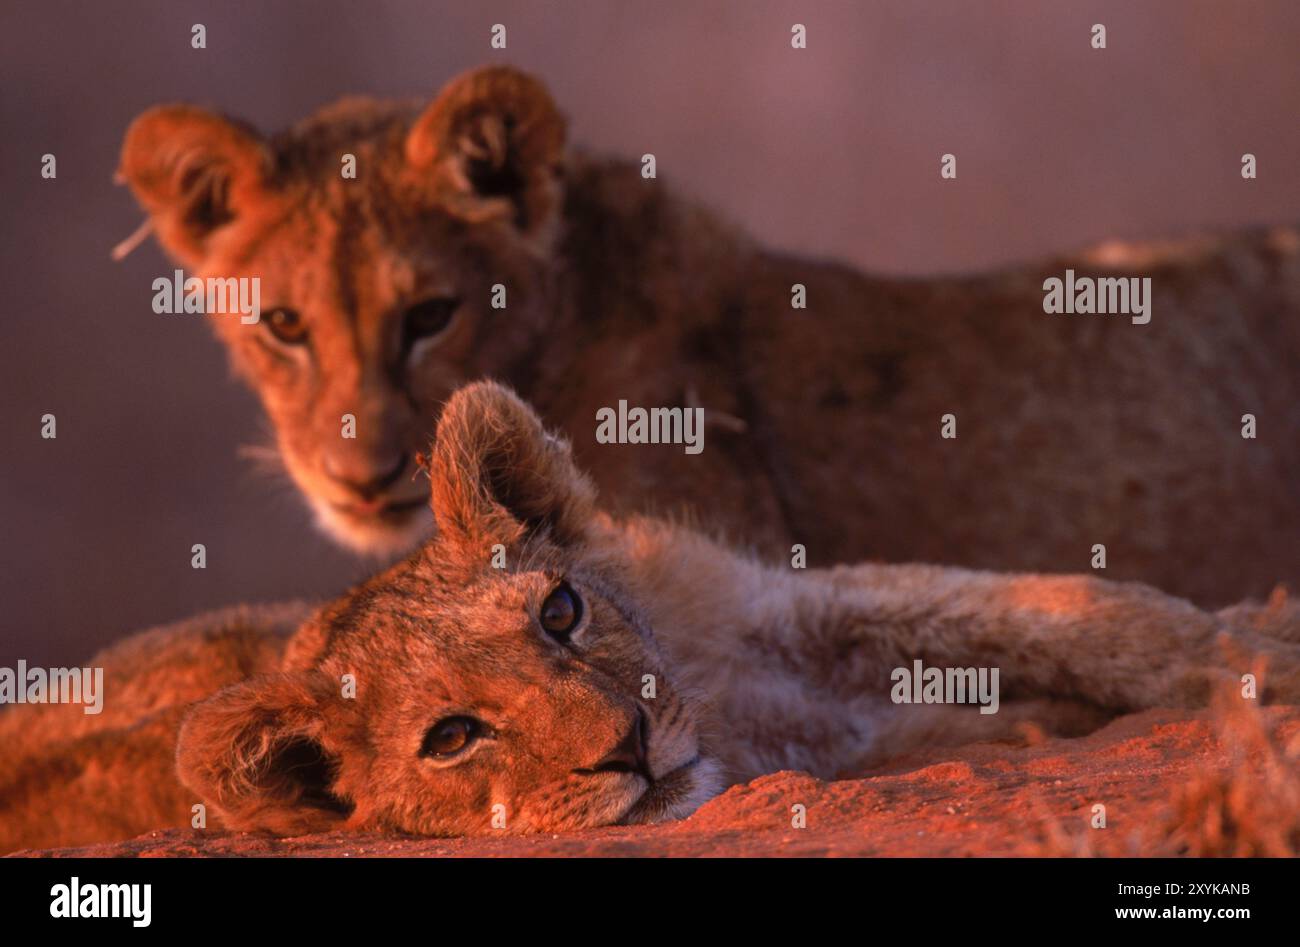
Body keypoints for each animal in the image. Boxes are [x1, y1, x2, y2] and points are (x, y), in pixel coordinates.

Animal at [4, 381, 1298, 853]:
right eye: (450, 736)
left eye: (562, 610)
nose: (624, 742)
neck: (743, 713)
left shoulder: (798, 603)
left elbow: (1077, 605)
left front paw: (1248, 645)